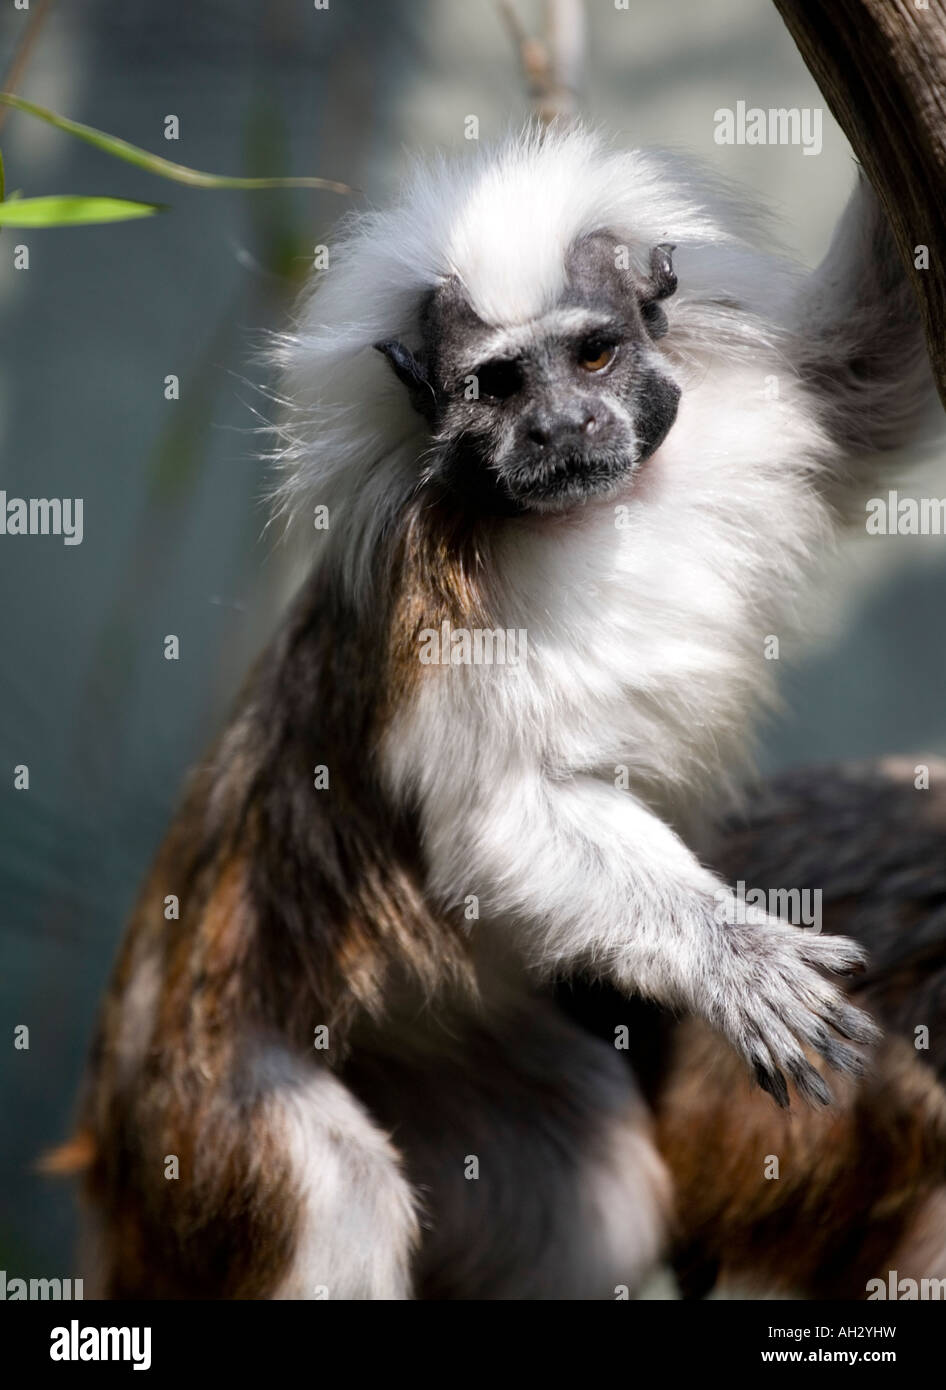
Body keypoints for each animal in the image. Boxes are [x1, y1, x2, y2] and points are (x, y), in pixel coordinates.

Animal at [62, 124, 937, 1298]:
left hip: (437, 1064)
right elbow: (498, 817)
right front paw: (730, 958)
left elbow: (883, 360)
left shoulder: (771, 396)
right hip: (207, 1115)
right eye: (500, 382)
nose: (561, 427)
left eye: (595, 357)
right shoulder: (433, 615)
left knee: (586, 1176)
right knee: (340, 1192)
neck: (597, 516)